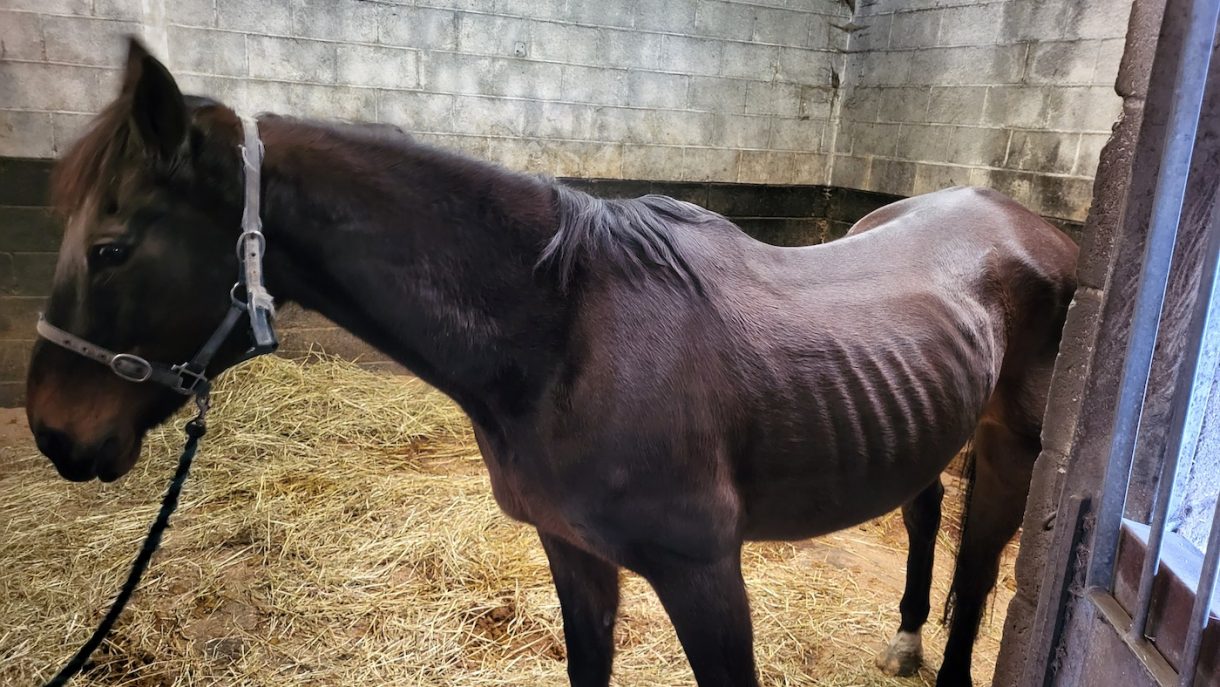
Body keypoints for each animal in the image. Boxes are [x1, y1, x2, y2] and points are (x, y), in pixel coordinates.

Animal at [25, 38, 1078, 687]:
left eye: (111, 248)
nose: (51, 430)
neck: (568, 336)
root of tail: (1036, 228)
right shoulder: (573, 551)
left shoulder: (706, 573)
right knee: (925, 511)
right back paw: (903, 635)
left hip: (1014, 450)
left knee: (981, 572)